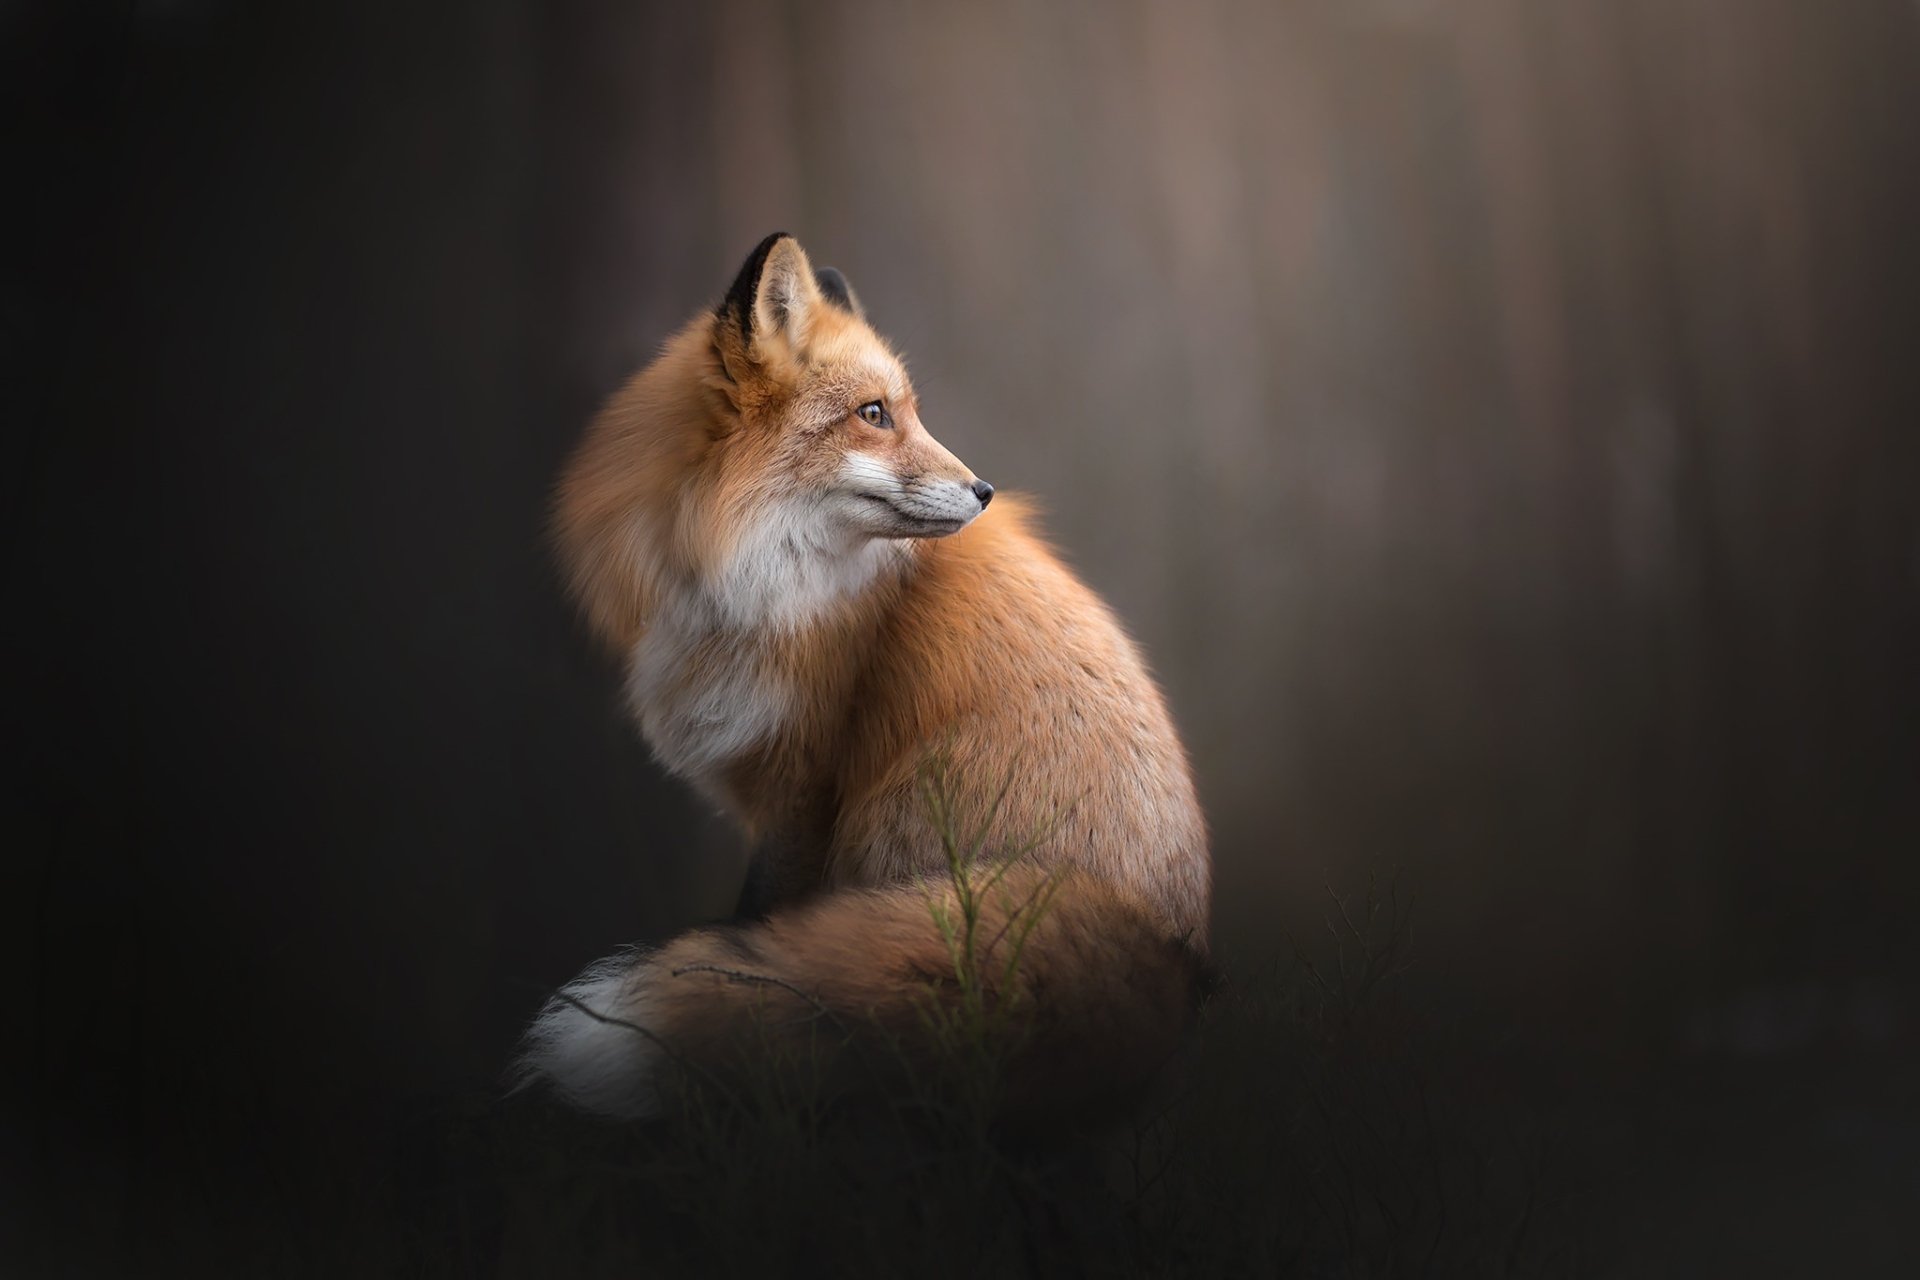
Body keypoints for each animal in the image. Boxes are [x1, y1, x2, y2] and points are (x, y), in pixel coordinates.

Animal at [517, 233, 1211, 1133]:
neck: (743, 582)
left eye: (905, 411)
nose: (986, 492)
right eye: (874, 413)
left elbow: (759, 918)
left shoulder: (806, 784)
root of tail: (1172, 953)